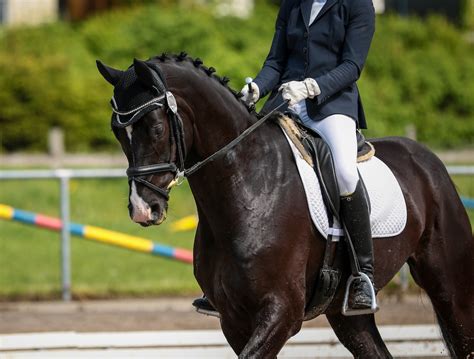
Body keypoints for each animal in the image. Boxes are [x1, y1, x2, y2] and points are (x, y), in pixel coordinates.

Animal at [97, 54, 474, 358]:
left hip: (449, 286)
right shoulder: (234, 320)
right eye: (117, 131)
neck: (247, 187)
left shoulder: (282, 311)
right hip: (345, 314)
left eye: (155, 127)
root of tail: (426, 158)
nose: (142, 208)